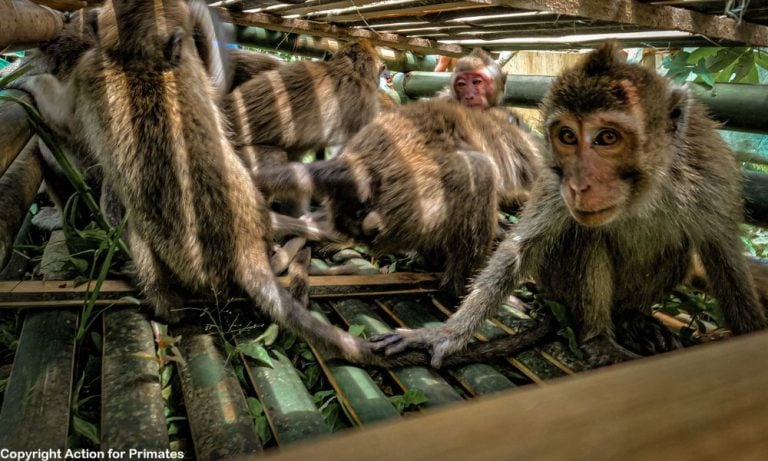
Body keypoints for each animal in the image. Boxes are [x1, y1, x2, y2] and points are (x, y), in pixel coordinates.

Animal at [369, 41, 768, 368]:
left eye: (607, 138)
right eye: (567, 137)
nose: (578, 183)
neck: (644, 190)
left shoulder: (709, 174)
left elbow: (724, 259)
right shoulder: (552, 174)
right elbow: (523, 246)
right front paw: (445, 334)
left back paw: (632, 318)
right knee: (584, 237)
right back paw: (597, 340)